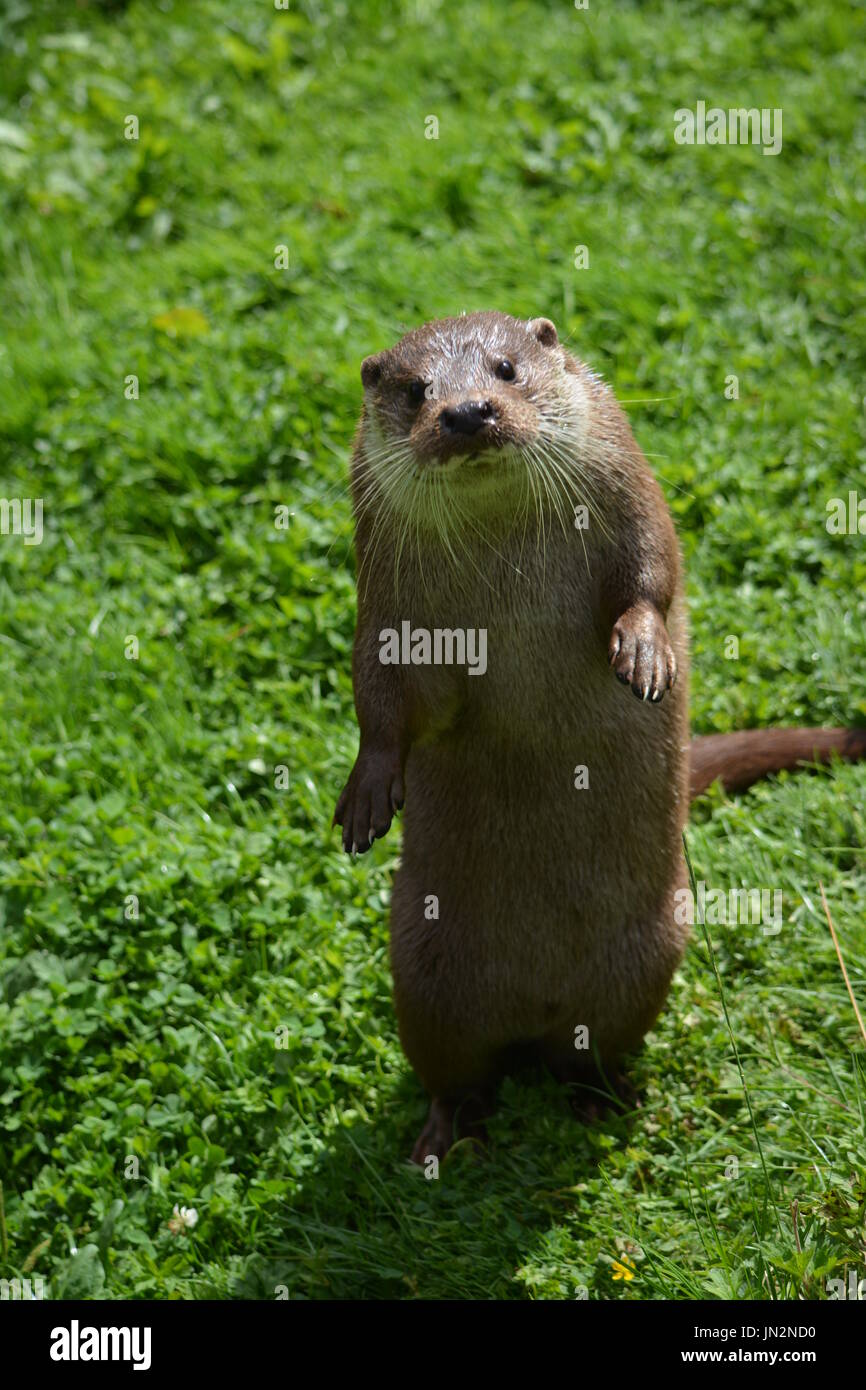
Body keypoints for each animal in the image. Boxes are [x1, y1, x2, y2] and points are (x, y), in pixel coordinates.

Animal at [333, 311, 866, 1164]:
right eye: (415, 391)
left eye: (506, 369)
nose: (466, 413)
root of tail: (538, 1006)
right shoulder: (386, 604)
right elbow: (386, 696)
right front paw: (370, 789)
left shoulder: (632, 495)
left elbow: (653, 573)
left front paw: (644, 651)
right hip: (419, 973)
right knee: (454, 1072)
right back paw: (445, 1136)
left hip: (649, 958)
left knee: (586, 1052)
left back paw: (603, 1101)